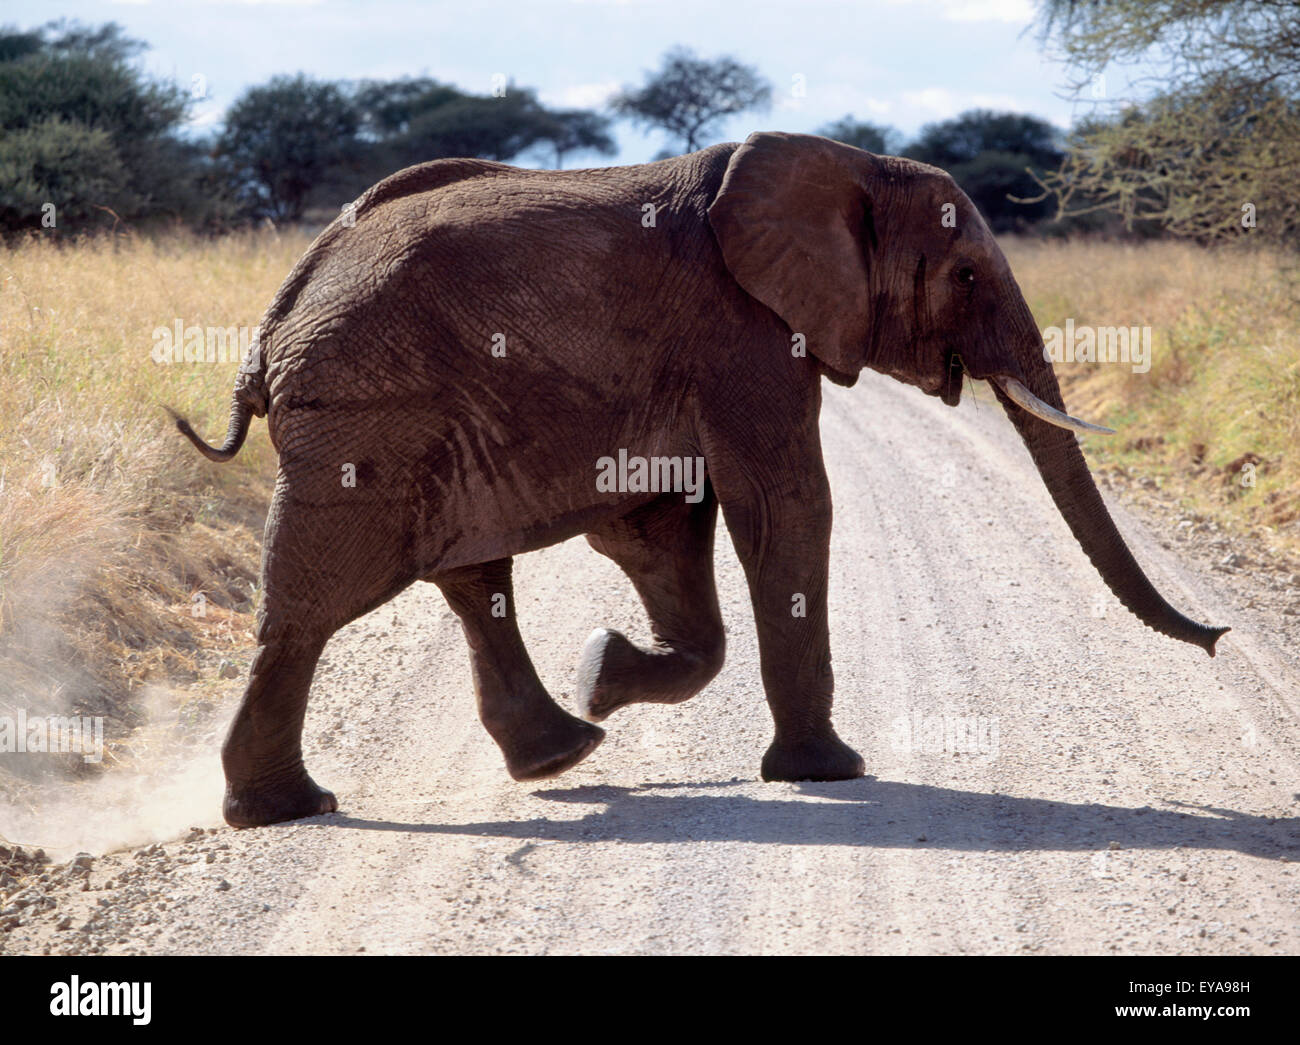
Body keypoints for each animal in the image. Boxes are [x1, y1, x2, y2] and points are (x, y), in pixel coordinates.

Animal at [171, 131, 1227, 828]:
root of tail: (275, 319)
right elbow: (785, 506)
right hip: (370, 414)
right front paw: (832, 774)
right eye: (966, 275)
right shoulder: (743, 335)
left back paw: (563, 749)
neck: (843, 167)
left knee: (473, 578)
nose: (1218, 638)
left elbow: (663, 525)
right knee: (313, 605)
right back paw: (284, 809)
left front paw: (604, 670)